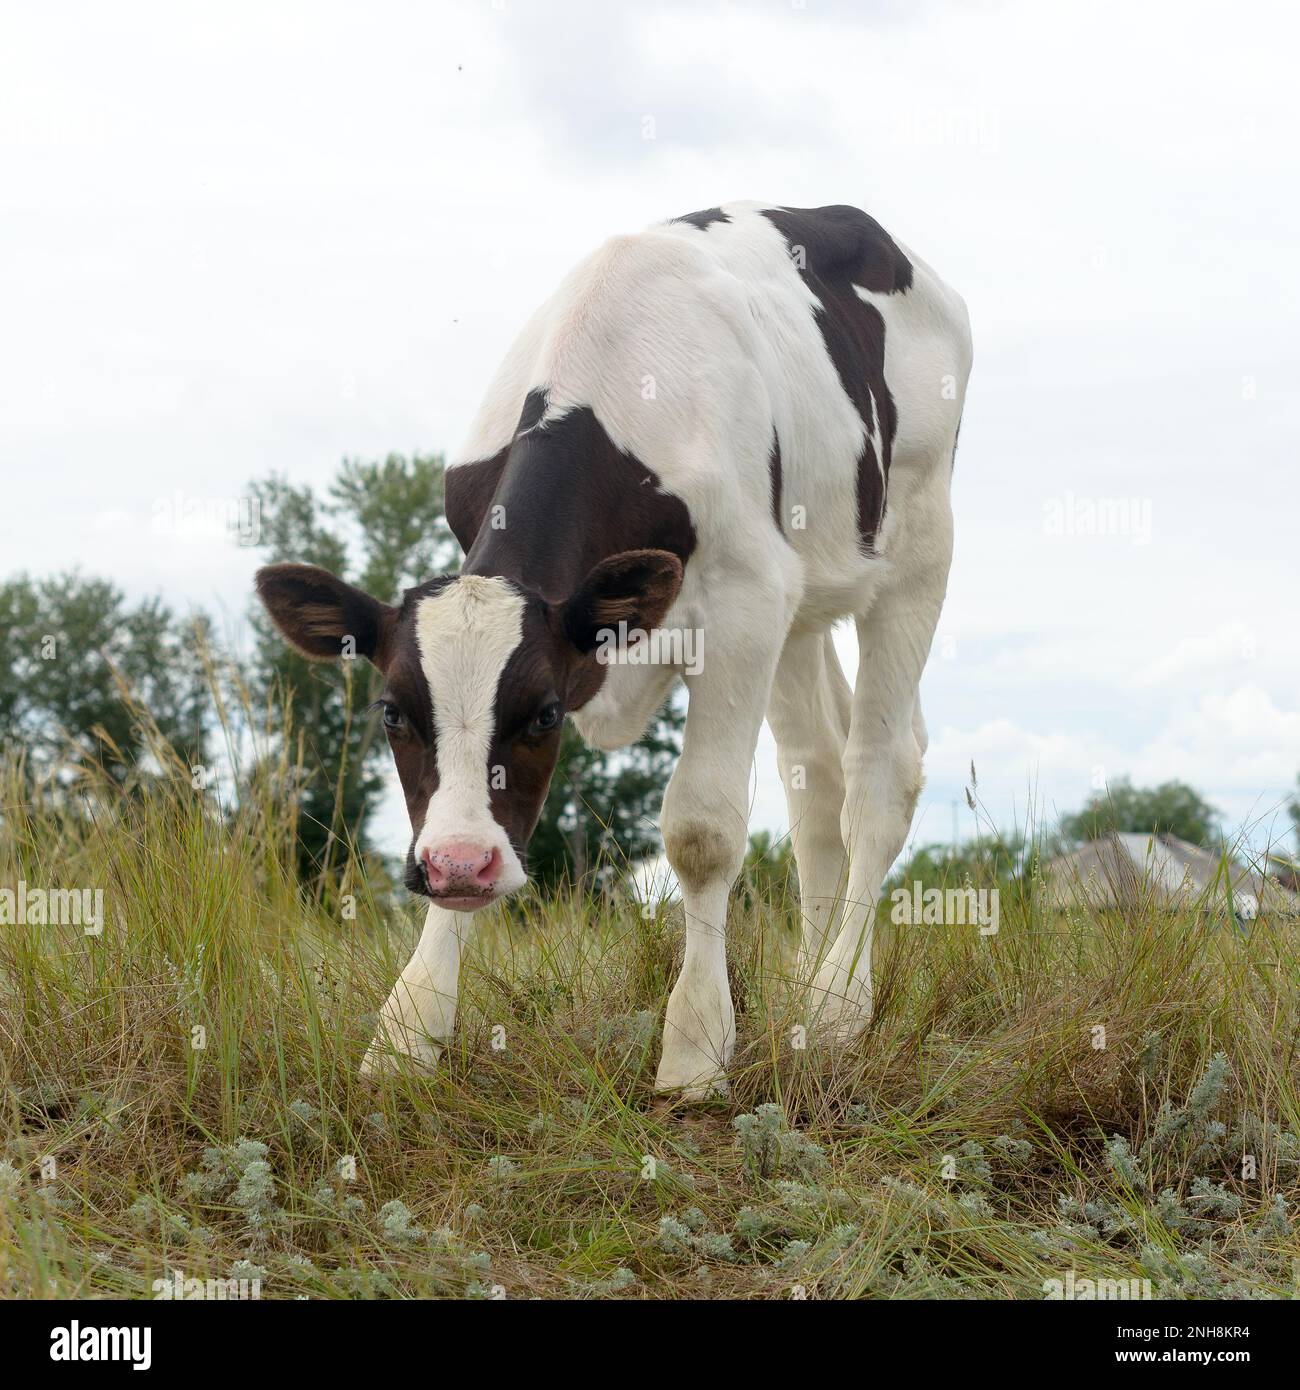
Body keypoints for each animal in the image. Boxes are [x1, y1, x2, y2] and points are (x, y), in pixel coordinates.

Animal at [257, 201, 972, 1098]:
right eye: (391, 712)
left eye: (544, 714)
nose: (458, 867)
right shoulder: (763, 601)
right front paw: (406, 1032)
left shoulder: (743, 604)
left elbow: (702, 831)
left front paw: (695, 1051)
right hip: (803, 598)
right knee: (817, 771)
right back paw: (806, 990)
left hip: (918, 539)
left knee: (880, 775)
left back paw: (840, 1006)